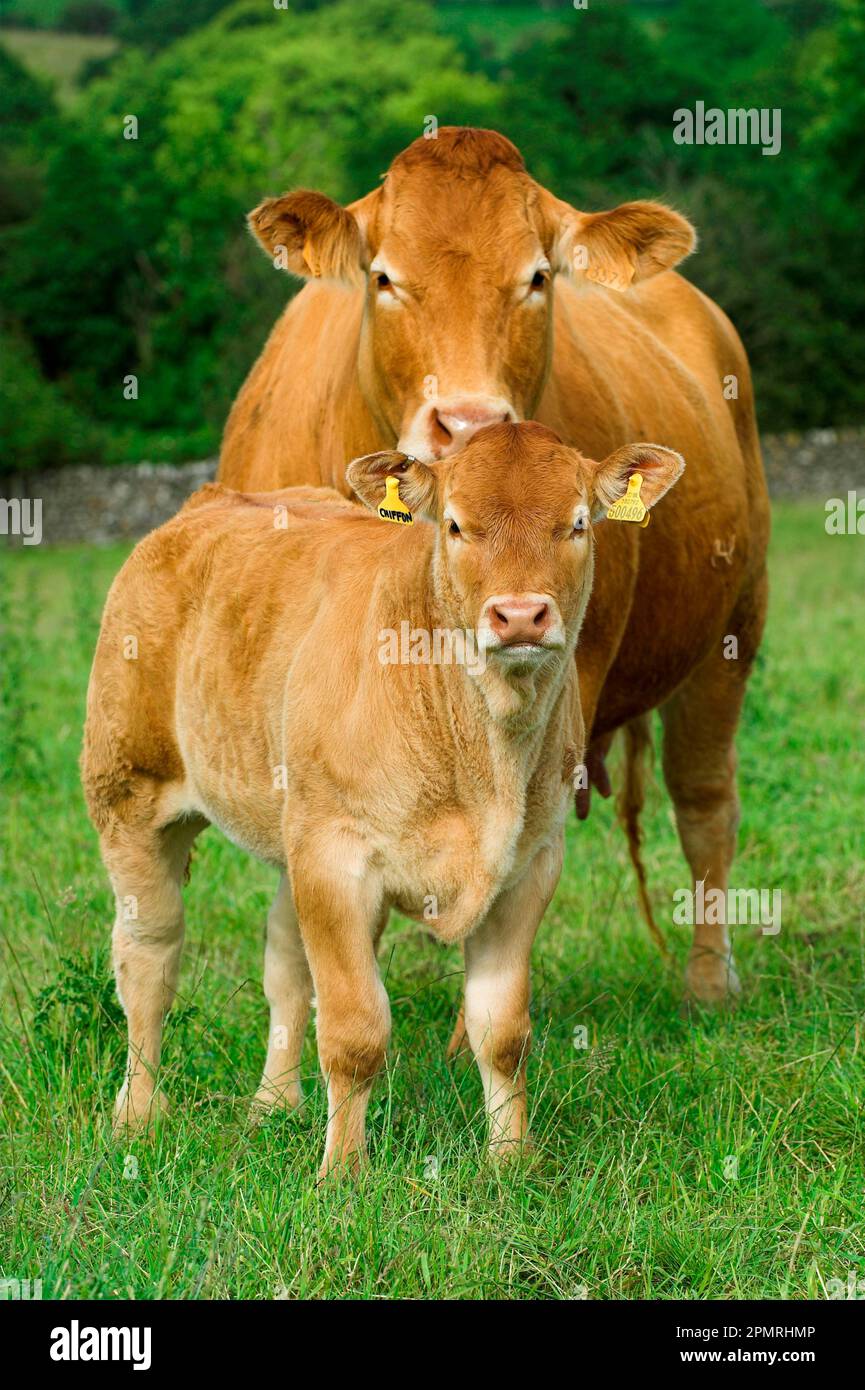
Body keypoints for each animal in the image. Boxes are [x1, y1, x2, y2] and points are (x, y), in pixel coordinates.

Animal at [82, 422, 684, 1173]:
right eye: (454, 525)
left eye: (576, 523)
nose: (519, 615)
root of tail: (213, 500)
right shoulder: (336, 859)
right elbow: (355, 1032)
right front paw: (343, 1172)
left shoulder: (530, 863)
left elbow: (501, 1031)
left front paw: (511, 1161)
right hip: (129, 794)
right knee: (149, 958)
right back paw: (136, 1116)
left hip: (291, 830)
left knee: (285, 961)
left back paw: (274, 1105)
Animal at [220, 126, 770, 1007]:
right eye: (383, 277)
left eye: (537, 276)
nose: (469, 423)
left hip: (732, 629)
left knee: (704, 801)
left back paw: (708, 981)